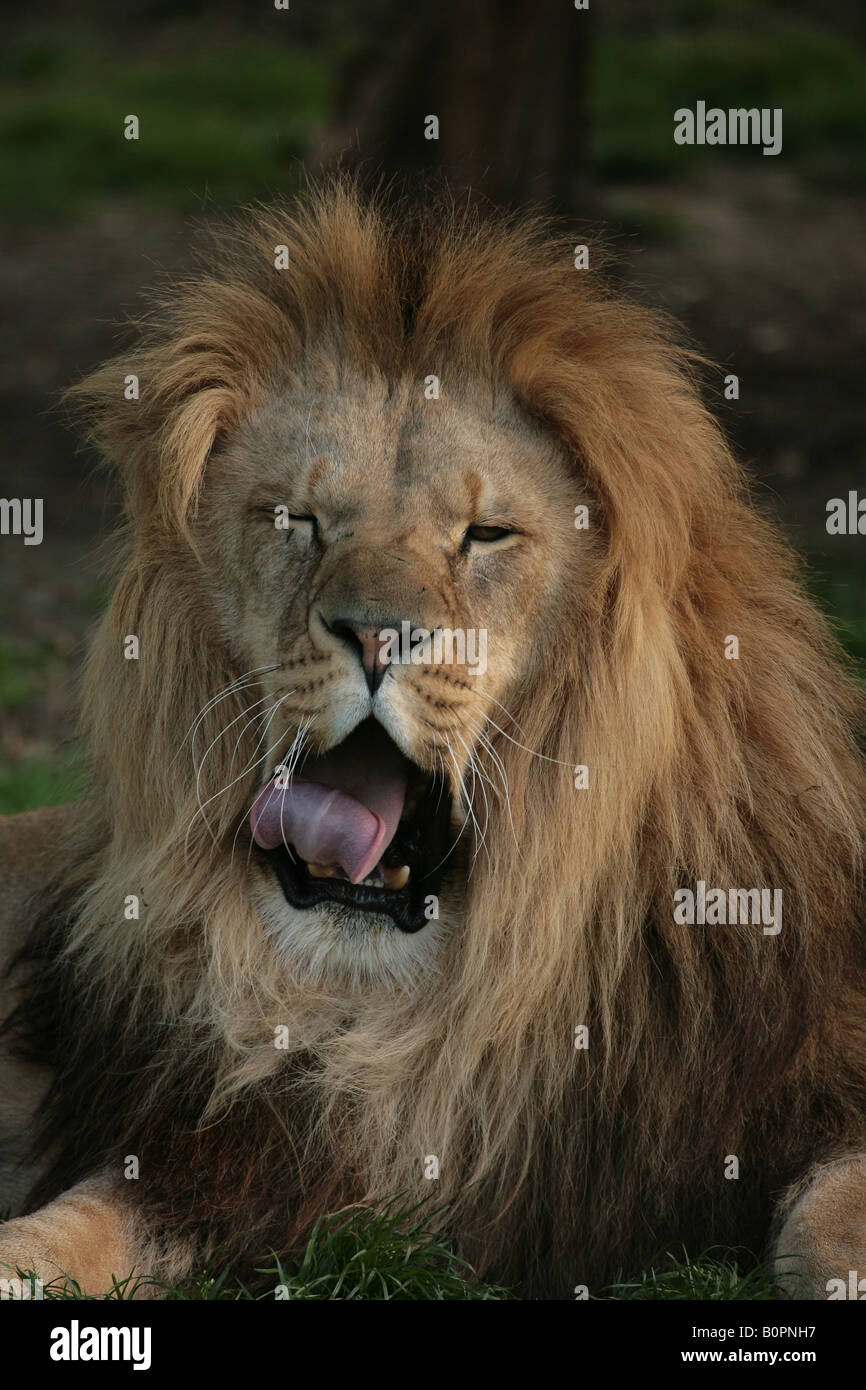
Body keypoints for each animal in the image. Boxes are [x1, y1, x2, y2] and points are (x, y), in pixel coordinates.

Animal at [1, 181, 866, 1300]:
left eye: (484, 534)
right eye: (298, 519)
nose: (374, 632)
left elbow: (832, 1218)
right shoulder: (232, 1146)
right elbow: (81, 1221)